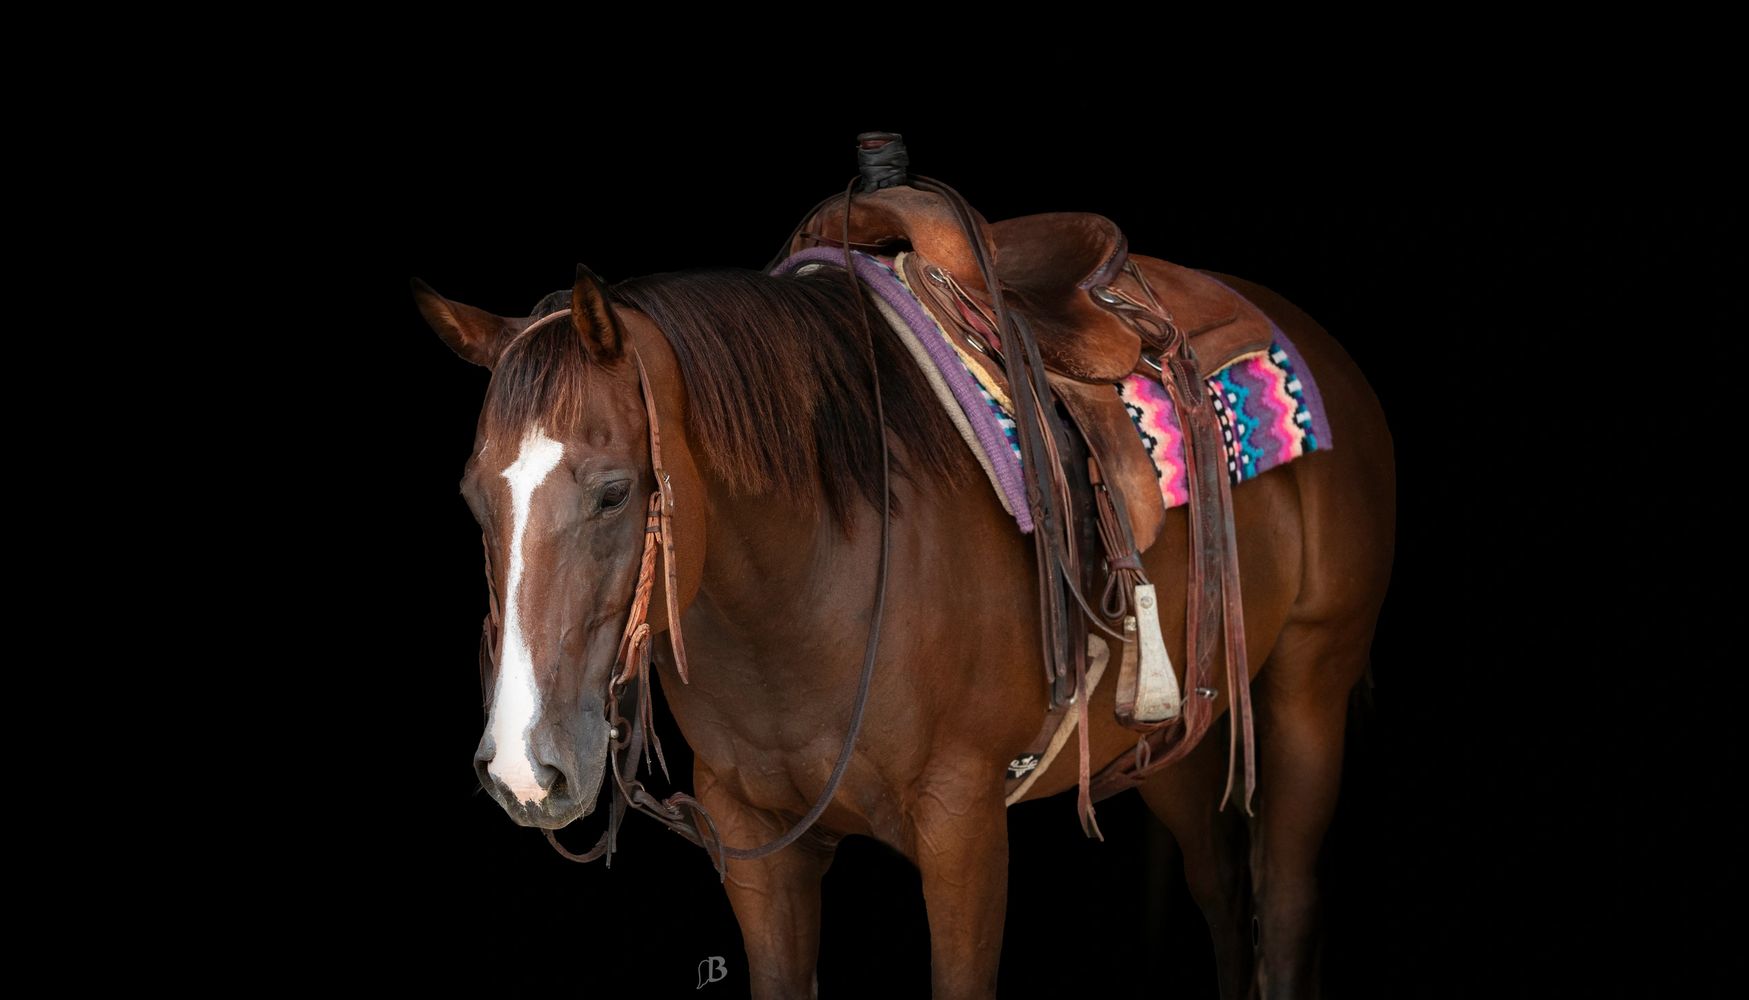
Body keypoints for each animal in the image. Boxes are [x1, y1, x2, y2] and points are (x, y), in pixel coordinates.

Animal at [411, 244, 1395, 997]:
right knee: (1224, 894)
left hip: (1308, 693)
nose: (523, 770)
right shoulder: (757, 848)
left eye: (615, 492)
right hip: (1168, 734)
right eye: (473, 501)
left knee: (1284, 902)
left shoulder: (964, 830)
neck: (808, 592)